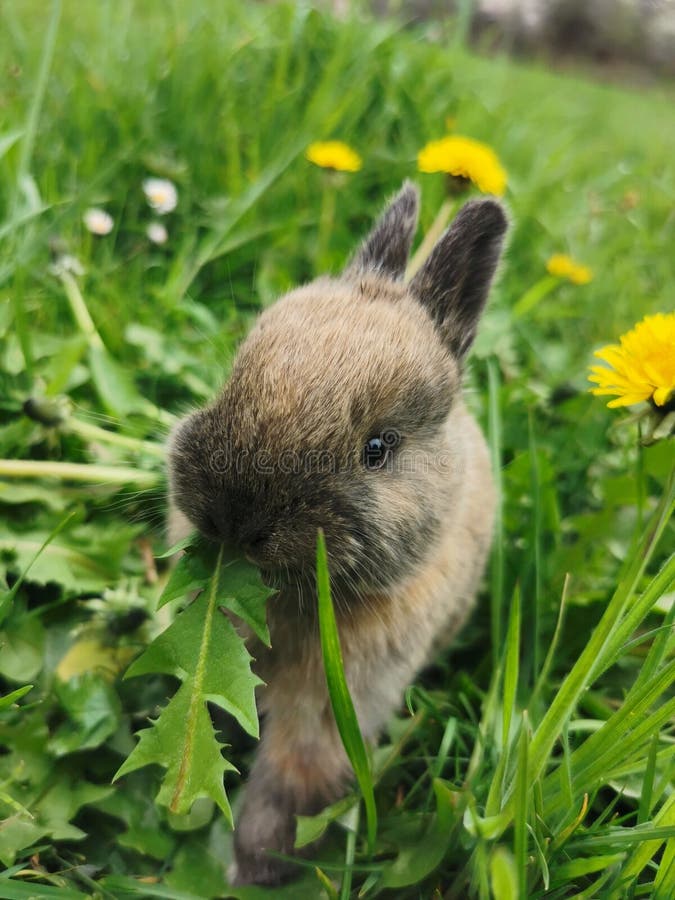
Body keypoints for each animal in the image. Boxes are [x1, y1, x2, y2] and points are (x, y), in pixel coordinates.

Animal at [167, 181, 507, 886]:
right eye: (239, 368)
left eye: (378, 448)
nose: (233, 519)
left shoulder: (329, 718)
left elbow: (290, 790)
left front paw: (251, 869)